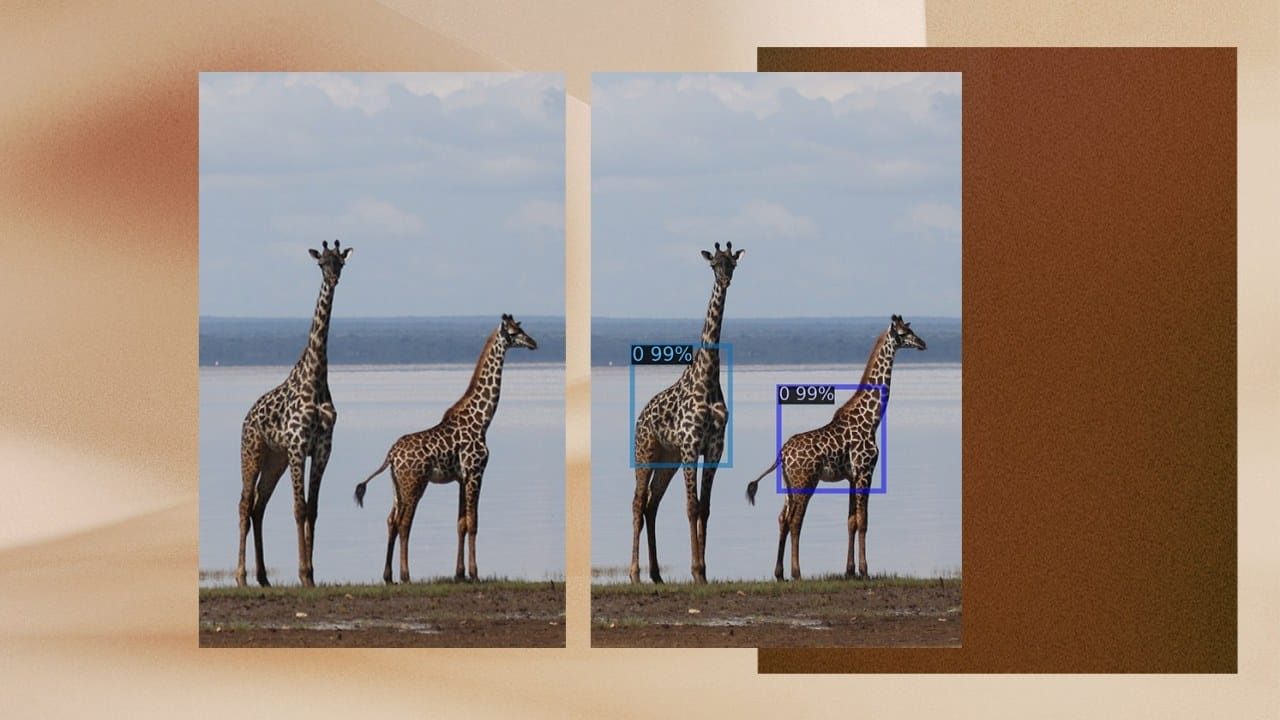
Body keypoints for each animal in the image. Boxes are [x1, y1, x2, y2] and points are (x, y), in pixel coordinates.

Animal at [235, 239, 353, 588]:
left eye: (341, 262)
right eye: (321, 263)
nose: (333, 279)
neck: (316, 379)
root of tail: (247, 418)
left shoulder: (323, 448)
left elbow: (312, 509)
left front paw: (312, 574)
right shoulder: (299, 446)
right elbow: (299, 509)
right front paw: (303, 573)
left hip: (276, 460)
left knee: (259, 506)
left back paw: (263, 577)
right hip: (253, 452)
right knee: (244, 504)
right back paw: (241, 576)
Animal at [353, 314, 538, 584]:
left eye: (521, 328)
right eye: (514, 333)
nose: (534, 342)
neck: (482, 420)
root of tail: (390, 456)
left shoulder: (461, 478)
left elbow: (460, 523)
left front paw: (459, 574)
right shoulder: (475, 473)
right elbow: (473, 522)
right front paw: (475, 573)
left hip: (397, 486)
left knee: (391, 521)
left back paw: (388, 576)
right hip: (415, 484)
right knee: (404, 523)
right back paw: (406, 575)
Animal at [630, 242, 745, 585]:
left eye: (732, 263)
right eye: (713, 265)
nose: (726, 280)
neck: (708, 377)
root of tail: (640, 417)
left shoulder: (714, 449)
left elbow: (704, 507)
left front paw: (704, 572)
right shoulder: (691, 446)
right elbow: (692, 507)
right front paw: (695, 571)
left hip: (668, 459)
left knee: (651, 504)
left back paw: (656, 574)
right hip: (646, 452)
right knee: (638, 503)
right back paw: (635, 573)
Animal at [745, 315, 926, 581]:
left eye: (911, 329)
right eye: (904, 333)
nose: (923, 343)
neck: (872, 420)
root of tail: (781, 455)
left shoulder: (852, 477)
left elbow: (851, 521)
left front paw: (849, 571)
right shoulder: (865, 471)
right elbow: (863, 521)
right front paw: (865, 570)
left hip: (789, 485)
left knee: (782, 519)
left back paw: (779, 573)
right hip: (806, 482)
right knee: (795, 521)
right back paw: (797, 573)